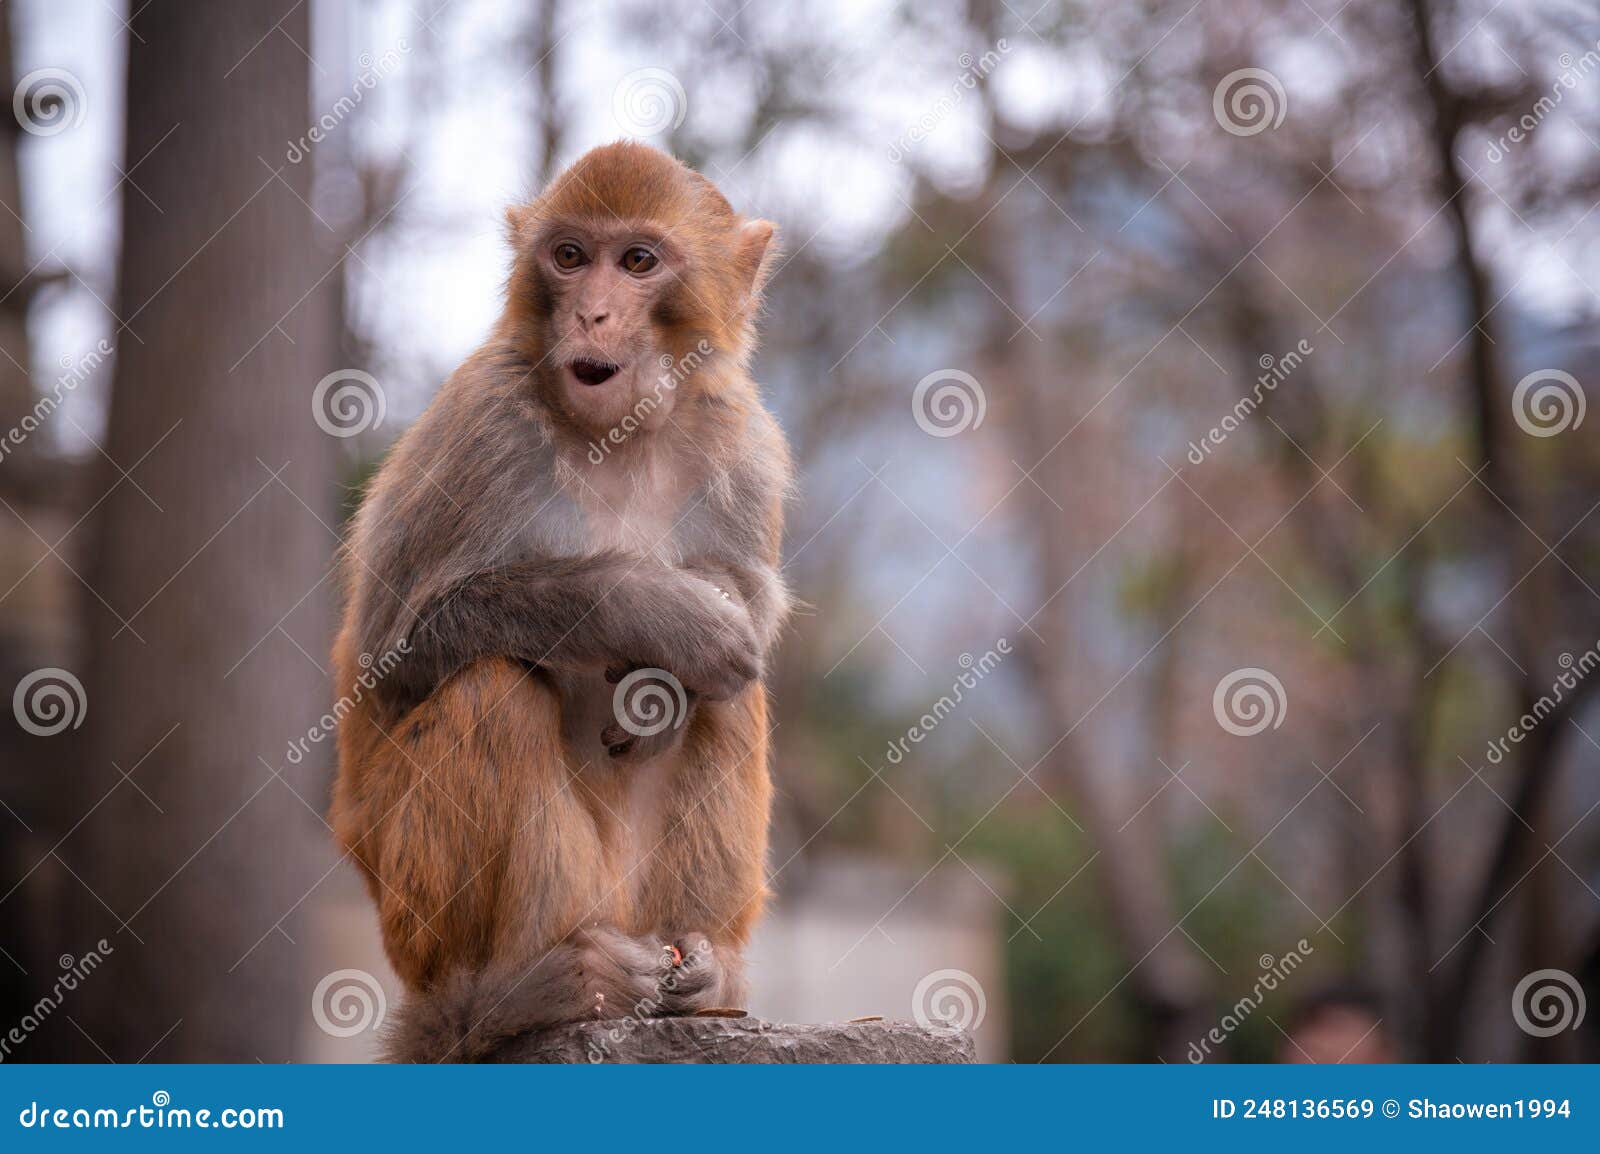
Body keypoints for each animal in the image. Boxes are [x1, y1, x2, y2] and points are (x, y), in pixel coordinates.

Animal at [327, 141, 791, 1062]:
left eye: (638, 262)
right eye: (570, 257)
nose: (593, 316)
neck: (624, 436)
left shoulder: (745, 440)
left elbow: (750, 602)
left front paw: (698, 637)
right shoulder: (483, 426)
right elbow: (390, 657)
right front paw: (654, 609)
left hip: (642, 908)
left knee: (733, 694)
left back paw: (711, 976)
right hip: (421, 917)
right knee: (492, 687)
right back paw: (520, 997)